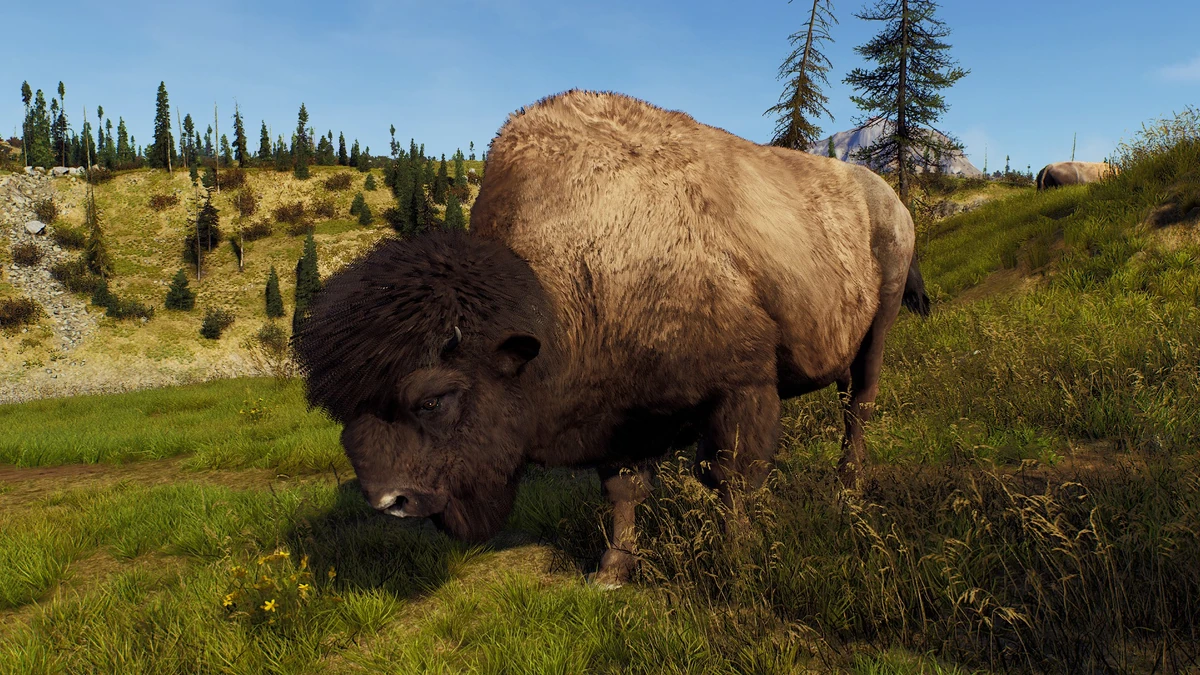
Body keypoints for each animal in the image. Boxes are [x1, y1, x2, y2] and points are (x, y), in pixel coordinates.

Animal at [294, 90, 929, 585]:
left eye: (432, 400)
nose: (389, 501)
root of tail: (890, 200)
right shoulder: (618, 412)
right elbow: (623, 491)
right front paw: (612, 570)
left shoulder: (742, 388)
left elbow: (732, 478)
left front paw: (740, 558)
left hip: (879, 326)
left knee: (859, 404)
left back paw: (849, 488)